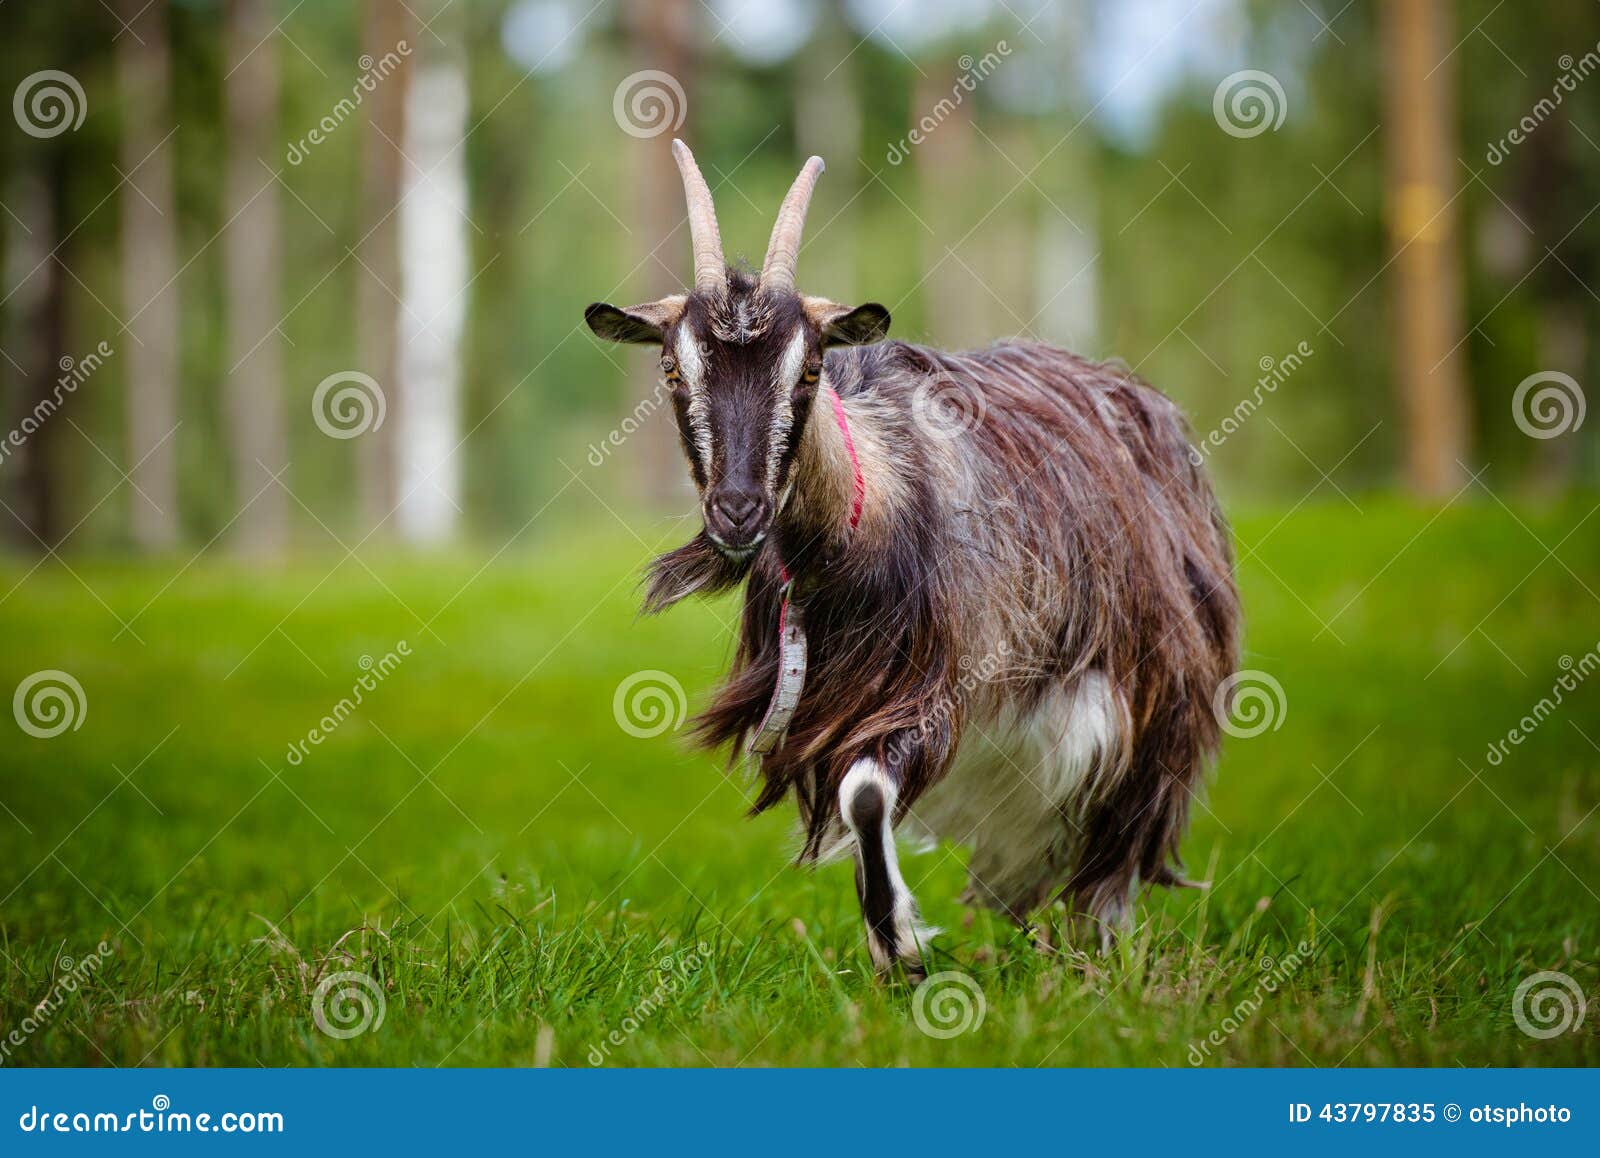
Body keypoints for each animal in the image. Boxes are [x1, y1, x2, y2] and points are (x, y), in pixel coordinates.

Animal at [584, 142, 1240, 980]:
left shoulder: (934, 683)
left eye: (808, 370)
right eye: (673, 370)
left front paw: (899, 945)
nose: (737, 511)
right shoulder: (829, 703)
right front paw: (893, 945)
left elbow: (866, 792)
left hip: (1154, 685)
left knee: (1124, 828)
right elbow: (854, 794)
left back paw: (1100, 940)